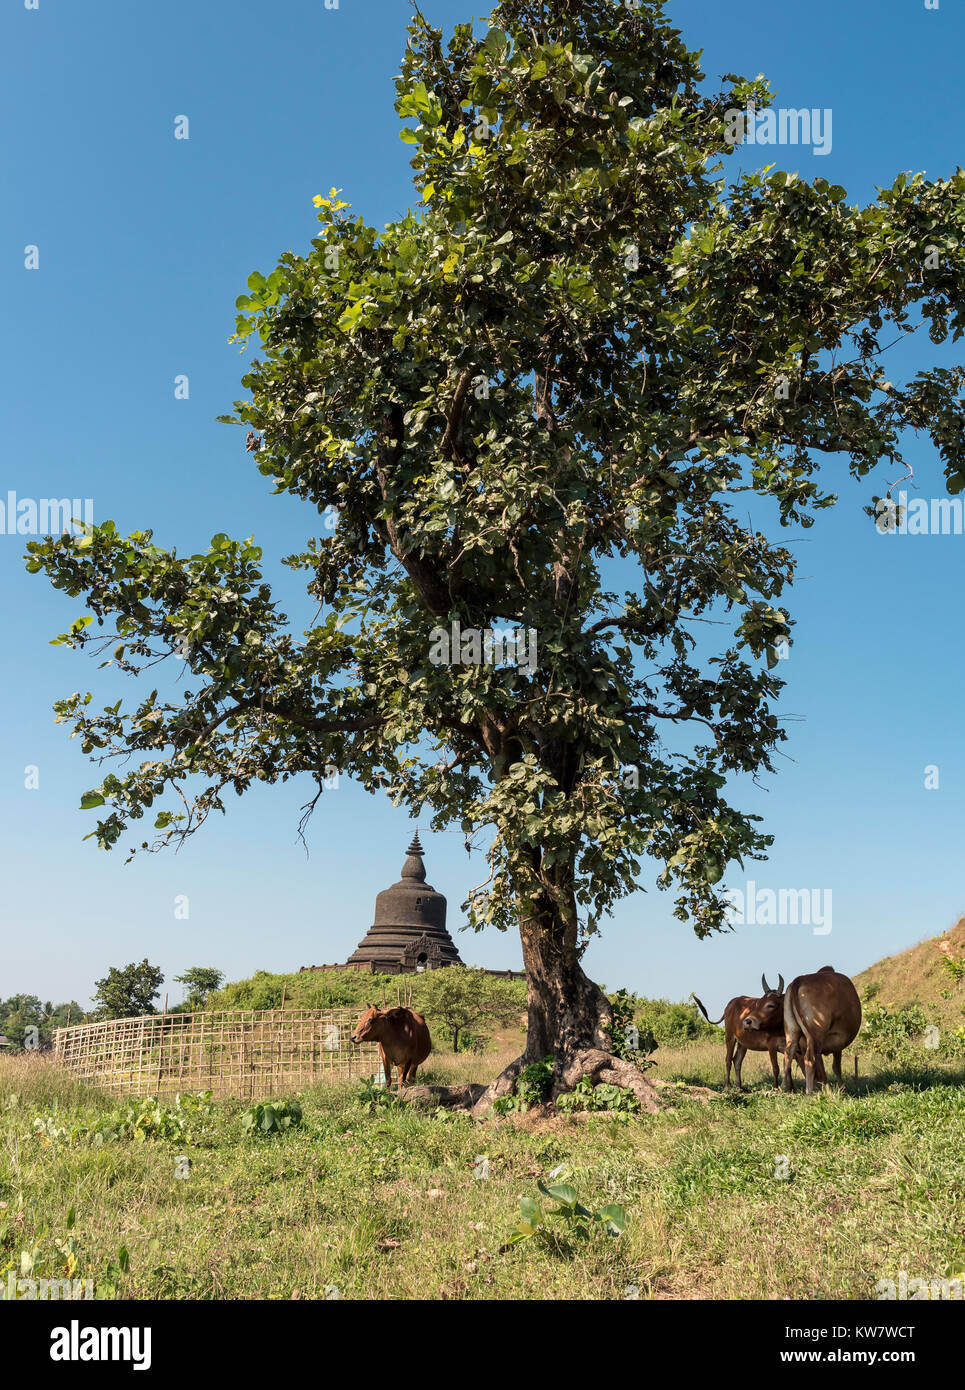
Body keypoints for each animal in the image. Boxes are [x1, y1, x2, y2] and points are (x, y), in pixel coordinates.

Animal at [780, 965, 862, 1095]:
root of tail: (800, 979)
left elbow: (823, 1069)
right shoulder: (837, 1042)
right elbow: (836, 1067)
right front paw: (841, 1090)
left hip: (792, 1031)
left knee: (788, 1055)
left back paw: (783, 1088)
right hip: (816, 1034)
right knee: (809, 1059)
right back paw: (809, 1092)